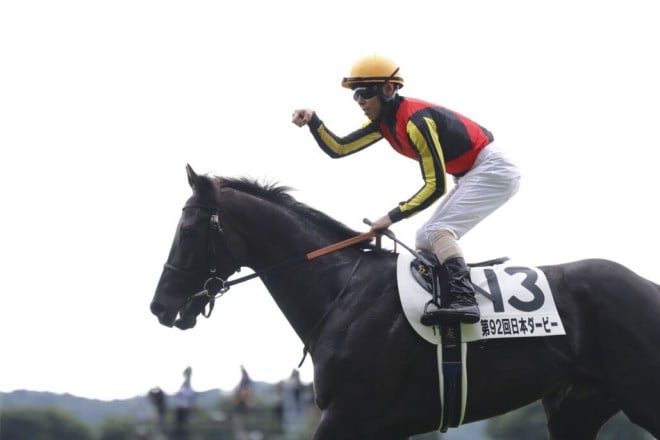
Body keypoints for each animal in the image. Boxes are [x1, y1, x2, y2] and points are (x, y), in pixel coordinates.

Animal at [150, 165, 660, 440]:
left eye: (188, 231)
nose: (160, 305)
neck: (343, 292)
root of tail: (647, 286)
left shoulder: (348, 414)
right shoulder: (388, 424)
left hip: (641, 394)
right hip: (577, 408)